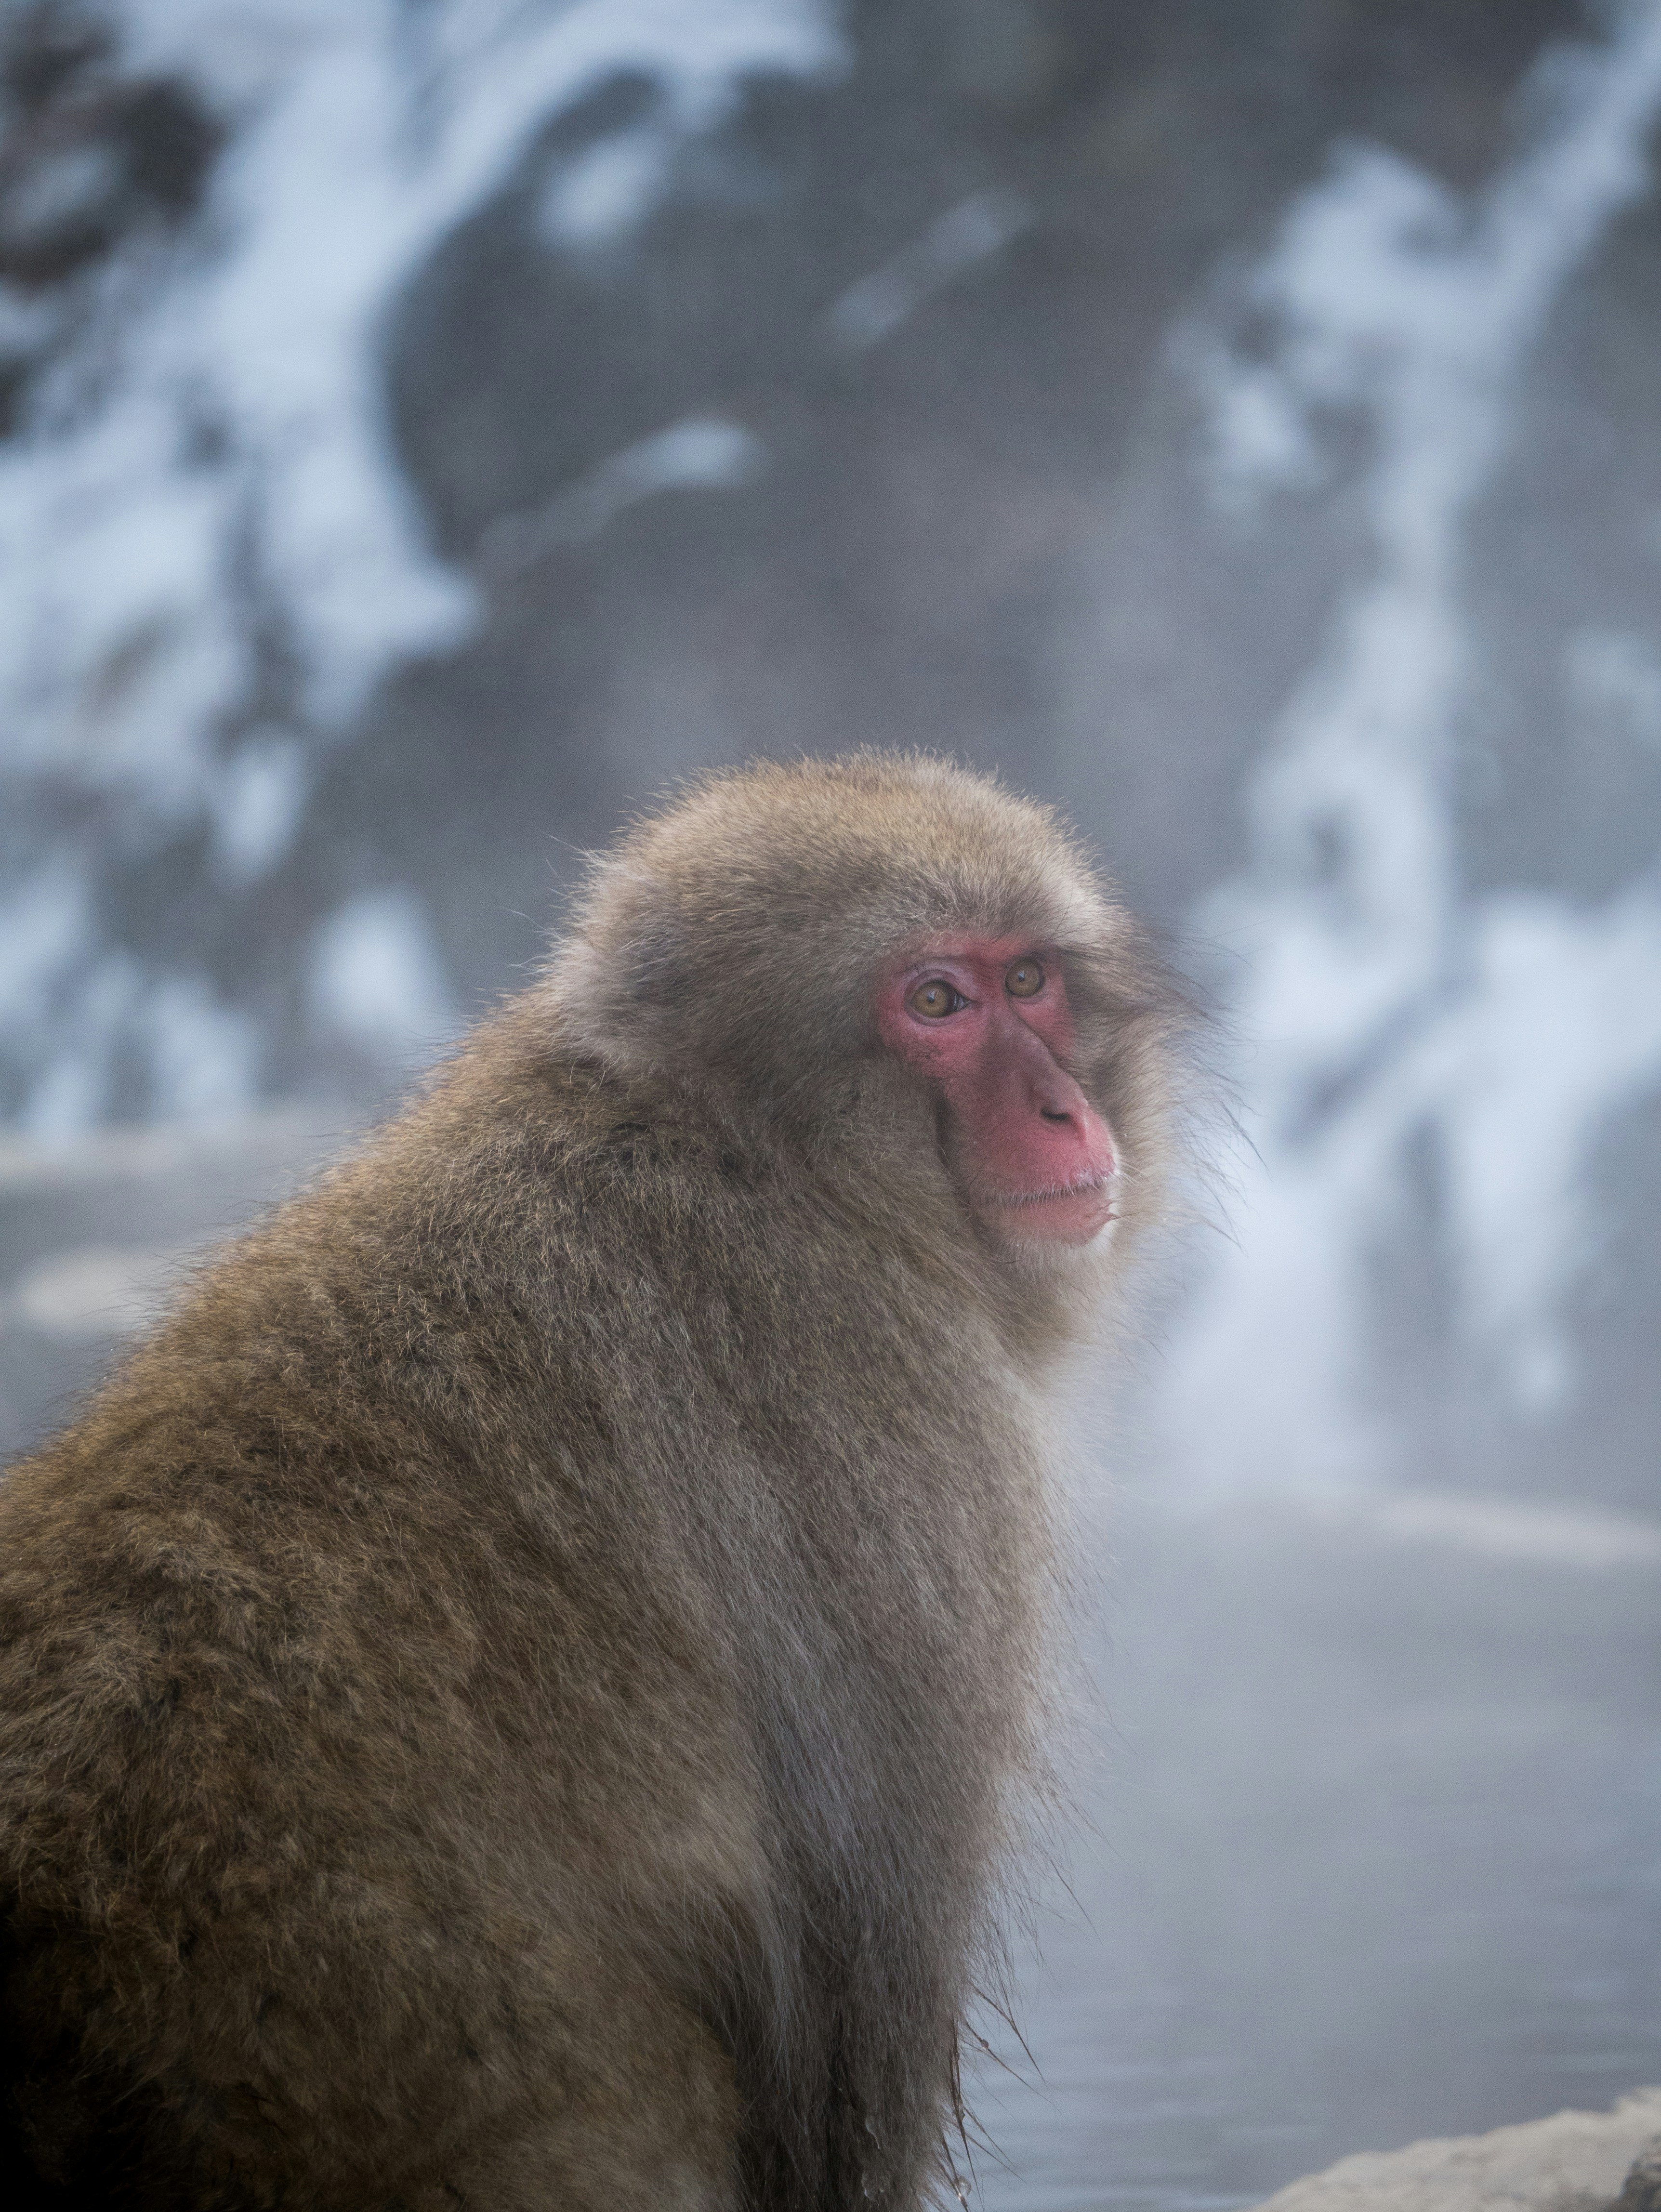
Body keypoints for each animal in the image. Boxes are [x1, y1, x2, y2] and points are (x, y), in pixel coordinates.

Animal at [0, 752, 1180, 2212]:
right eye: (936, 1004)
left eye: (1029, 982)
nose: (1064, 1109)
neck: (748, 1154)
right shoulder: (901, 1436)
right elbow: (857, 2009)